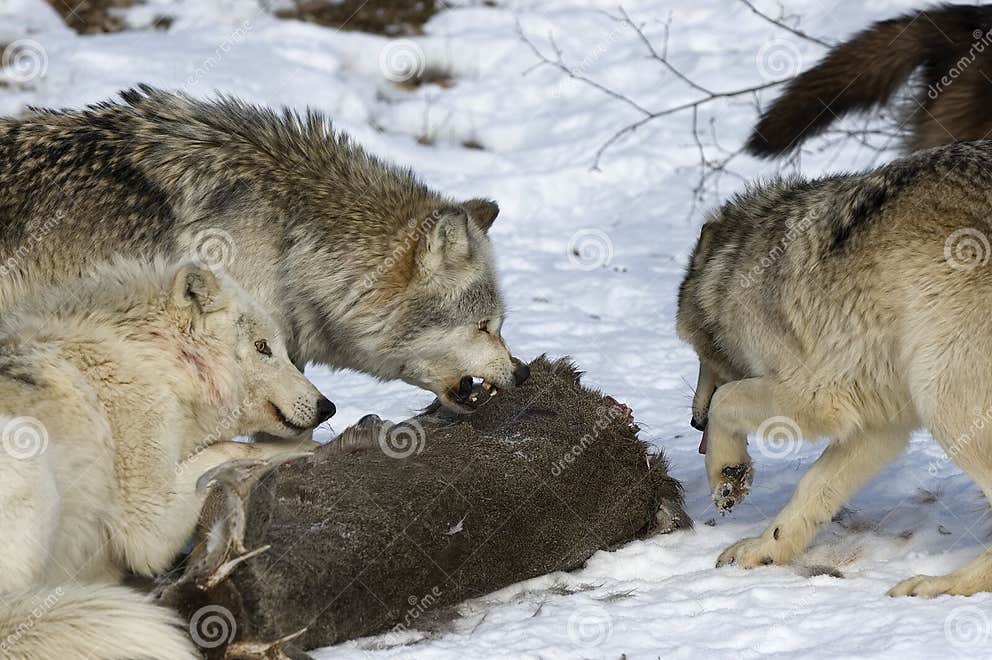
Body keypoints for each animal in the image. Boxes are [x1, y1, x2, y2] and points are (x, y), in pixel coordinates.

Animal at [0, 257, 333, 659]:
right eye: (262, 347)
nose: (328, 407)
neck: (158, 361)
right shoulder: (149, 520)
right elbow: (234, 449)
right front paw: (306, 449)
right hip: (29, 466)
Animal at [678, 140, 992, 597]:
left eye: (702, 353)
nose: (694, 422)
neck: (739, 271)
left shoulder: (813, 396)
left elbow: (725, 399)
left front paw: (728, 473)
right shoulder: (878, 425)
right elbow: (812, 489)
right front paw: (763, 549)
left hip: (945, 401)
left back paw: (938, 585)